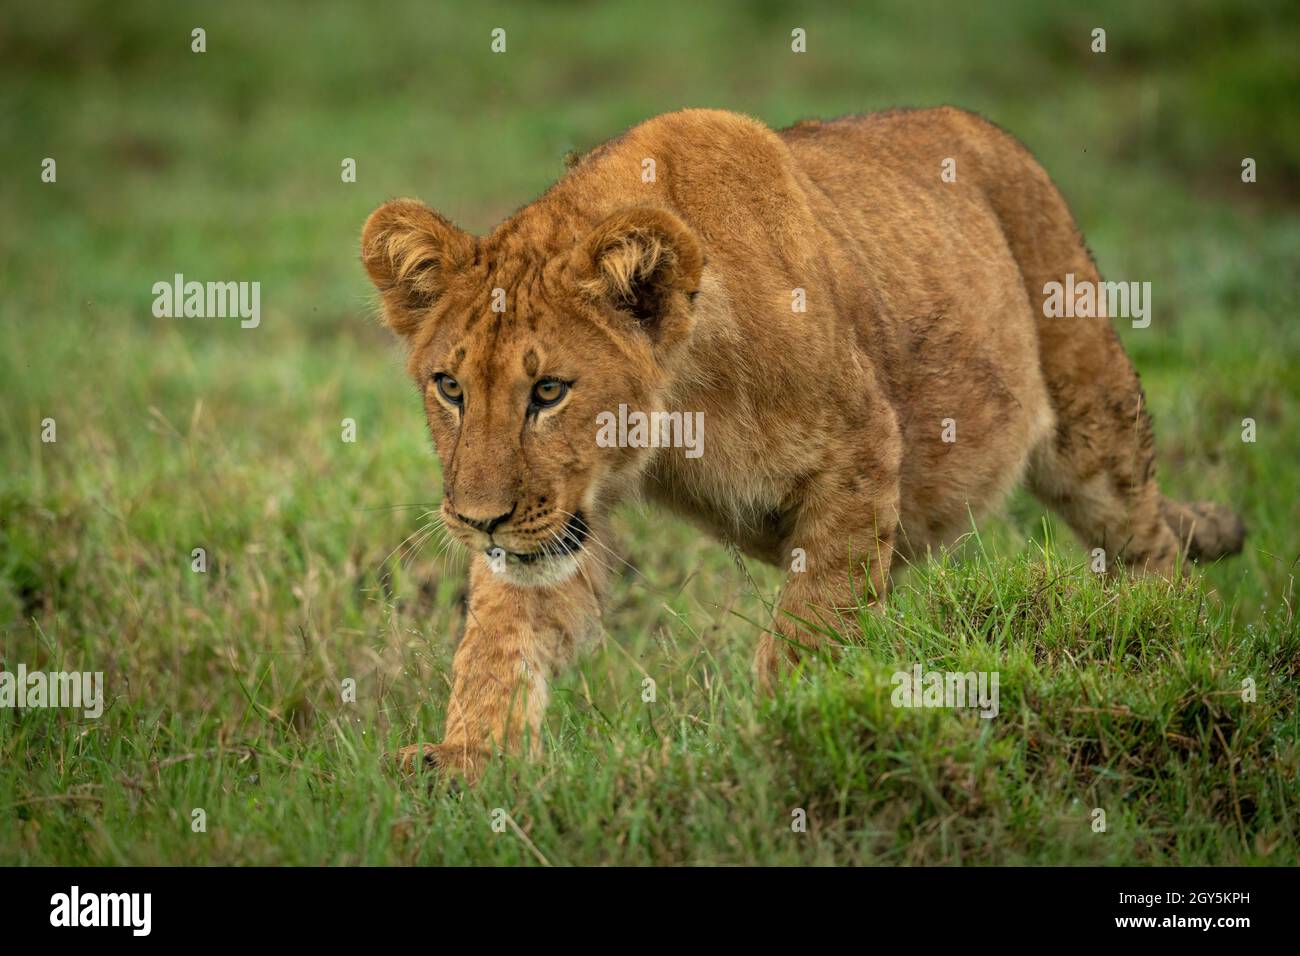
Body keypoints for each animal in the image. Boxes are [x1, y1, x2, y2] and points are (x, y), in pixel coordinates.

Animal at [360, 107, 1245, 780]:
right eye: (450, 387)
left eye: (549, 392)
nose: (478, 520)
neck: (681, 406)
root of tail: (993, 134)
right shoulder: (570, 518)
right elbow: (501, 634)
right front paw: (466, 762)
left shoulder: (862, 453)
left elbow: (808, 629)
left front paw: (781, 740)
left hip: (1094, 412)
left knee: (1149, 545)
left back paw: (1173, 653)